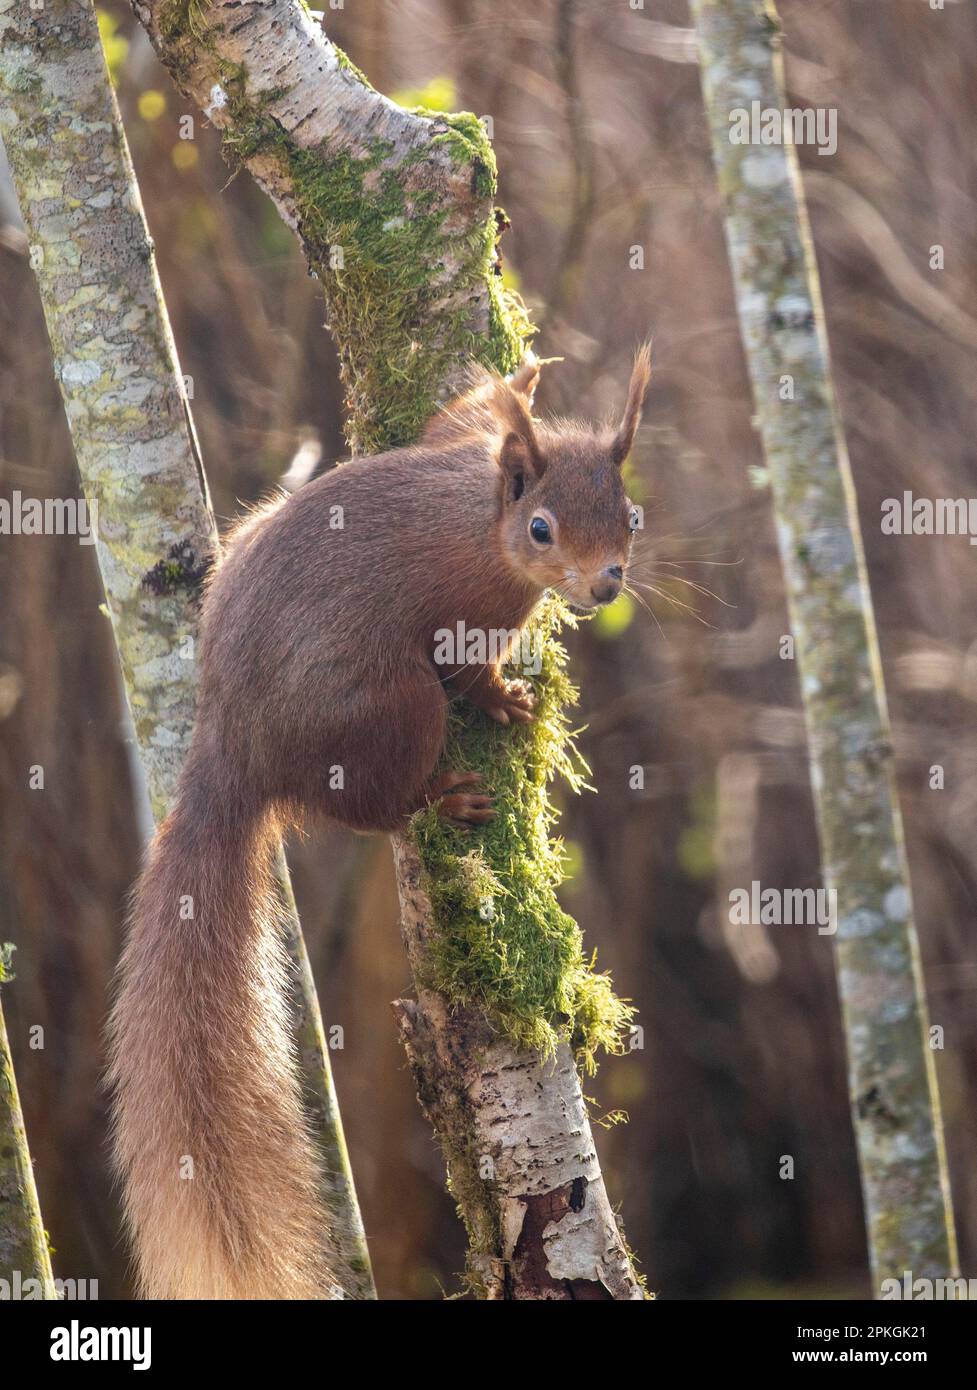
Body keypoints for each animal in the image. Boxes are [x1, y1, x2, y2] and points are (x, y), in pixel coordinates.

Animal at [107, 346, 652, 1300]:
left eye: (630, 514)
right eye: (541, 529)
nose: (602, 585)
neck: (480, 517)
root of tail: (236, 745)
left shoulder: (462, 444)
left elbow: (461, 414)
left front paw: (524, 370)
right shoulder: (462, 612)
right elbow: (466, 670)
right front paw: (504, 699)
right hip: (389, 709)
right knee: (369, 807)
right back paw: (442, 799)